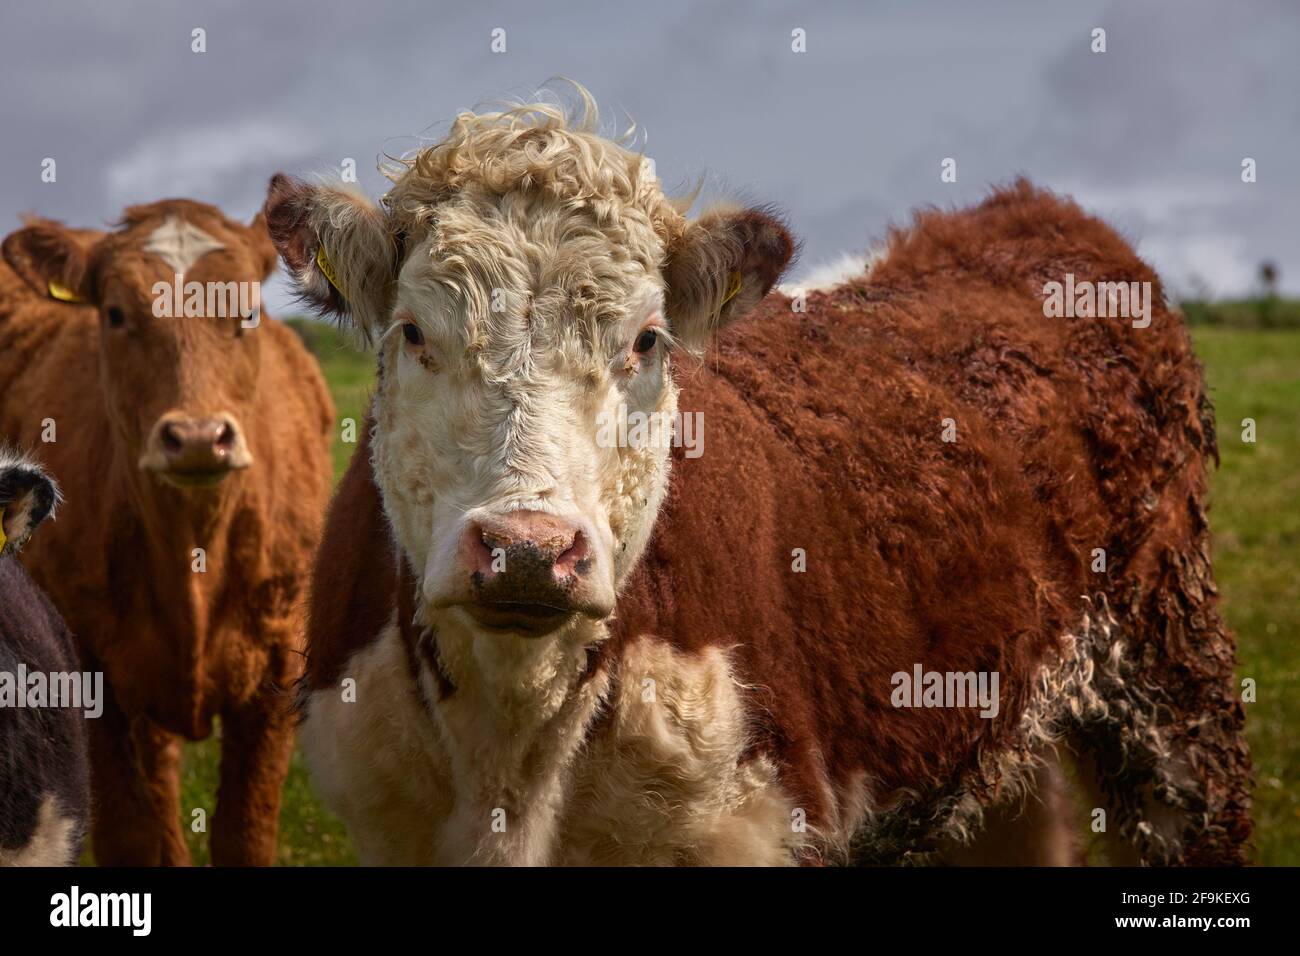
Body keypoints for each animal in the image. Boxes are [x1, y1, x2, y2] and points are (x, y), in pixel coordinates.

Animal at [0, 200, 335, 865]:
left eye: (248, 311)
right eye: (115, 313)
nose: (200, 437)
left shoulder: (278, 670)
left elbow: (243, 834)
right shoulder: (88, 676)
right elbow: (131, 836)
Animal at [266, 92, 1250, 866]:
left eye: (647, 340)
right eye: (414, 333)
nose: (528, 549)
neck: (511, 751)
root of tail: (1030, 216)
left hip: (1171, 689)